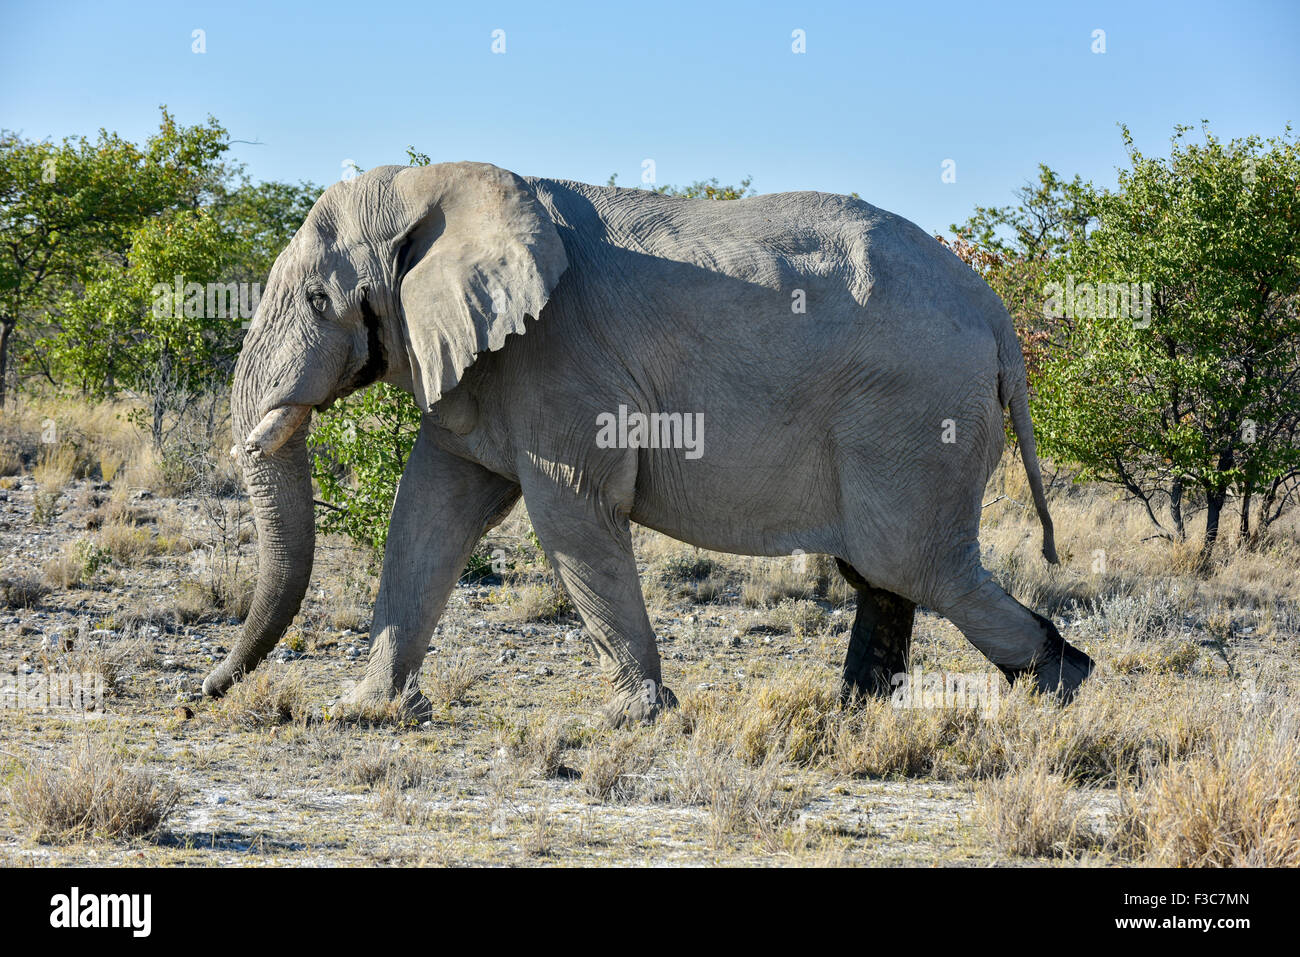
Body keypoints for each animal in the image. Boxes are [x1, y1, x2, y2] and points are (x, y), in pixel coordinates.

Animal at [203, 161, 1094, 725]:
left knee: (914, 565)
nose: (200, 693)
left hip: (915, 418)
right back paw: (855, 716)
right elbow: (429, 513)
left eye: (319, 300)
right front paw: (366, 709)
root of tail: (999, 320)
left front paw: (632, 717)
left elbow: (572, 516)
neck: (439, 181)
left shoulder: (560, 357)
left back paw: (1062, 687)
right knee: (886, 572)